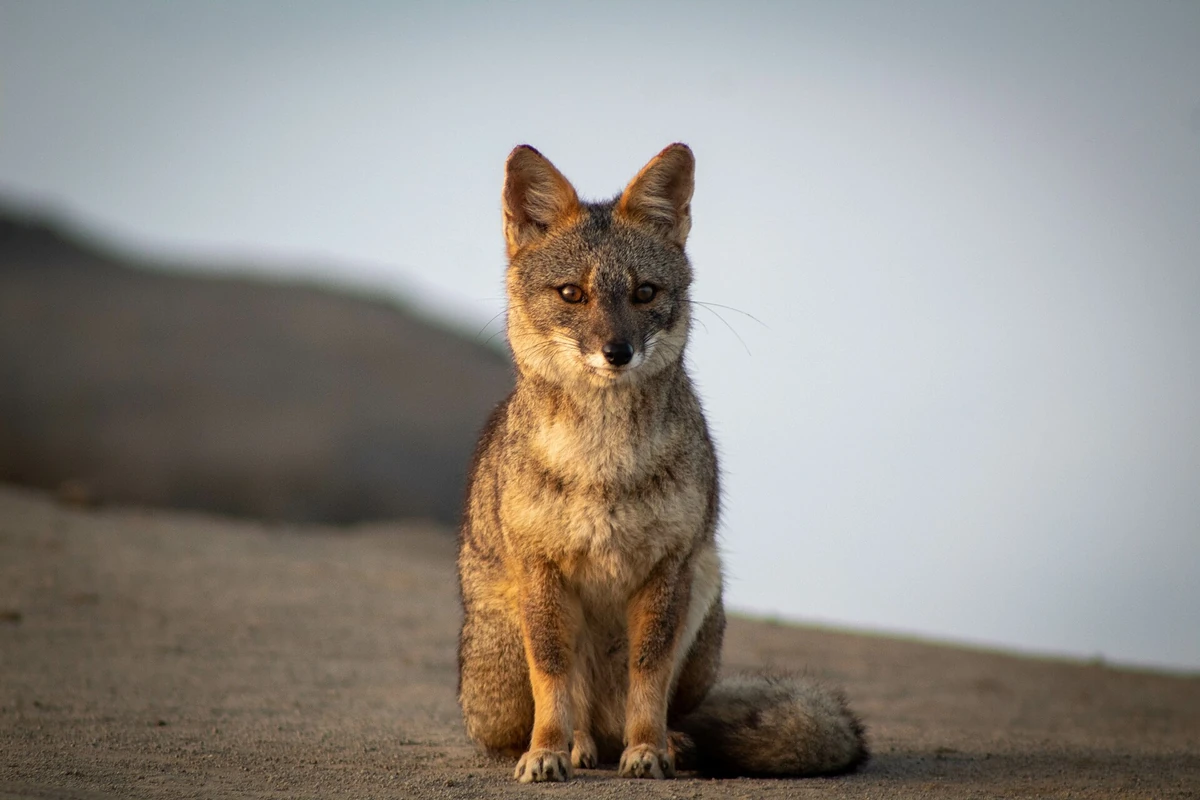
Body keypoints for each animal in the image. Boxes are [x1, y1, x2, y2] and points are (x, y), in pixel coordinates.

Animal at [456, 143, 868, 782]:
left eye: (644, 293)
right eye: (572, 294)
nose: (617, 352)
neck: (602, 463)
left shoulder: (667, 566)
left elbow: (648, 674)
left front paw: (648, 748)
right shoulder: (541, 567)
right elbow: (553, 676)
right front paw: (547, 750)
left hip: (705, 581)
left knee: (658, 708)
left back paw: (662, 742)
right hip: (502, 652)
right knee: (565, 716)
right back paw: (577, 744)